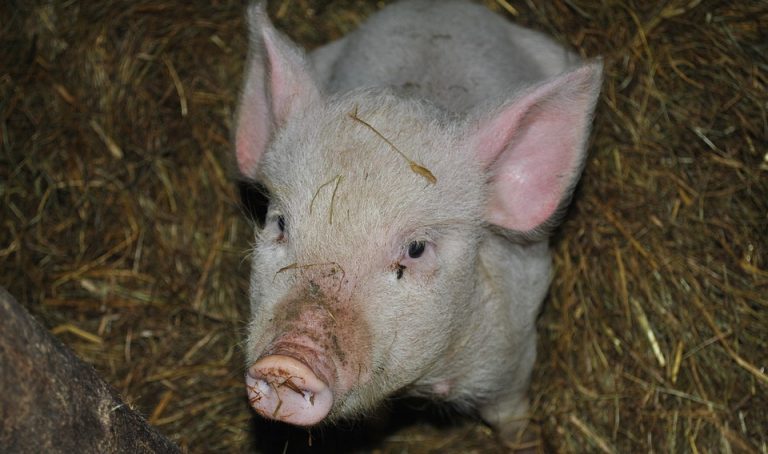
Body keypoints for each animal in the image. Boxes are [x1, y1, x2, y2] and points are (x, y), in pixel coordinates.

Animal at [235, 0, 602, 442]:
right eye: (281, 224)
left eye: (415, 249)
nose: (288, 361)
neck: (421, 383)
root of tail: (433, 6)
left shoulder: (512, 358)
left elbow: (510, 415)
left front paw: (526, 442)